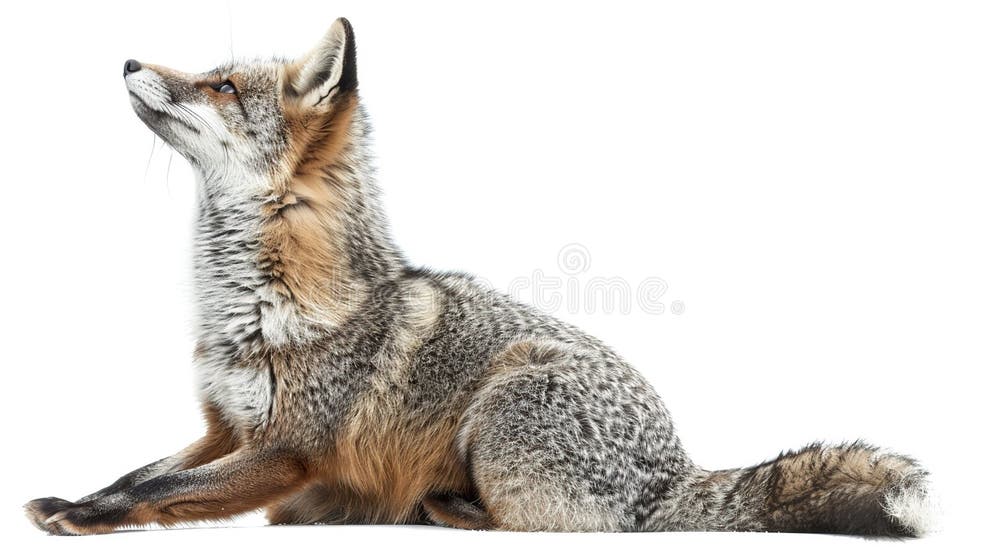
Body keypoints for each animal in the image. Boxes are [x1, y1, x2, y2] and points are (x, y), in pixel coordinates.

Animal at [25, 17, 935, 536]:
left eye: (218, 86)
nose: (127, 58)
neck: (245, 304)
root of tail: (672, 472)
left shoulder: (285, 449)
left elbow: (162, 488)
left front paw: (82, 516)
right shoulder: (226, 427)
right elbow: (141, 472)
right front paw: (77, 495)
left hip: (504, 403)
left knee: (551, 530)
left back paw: (427, 508)